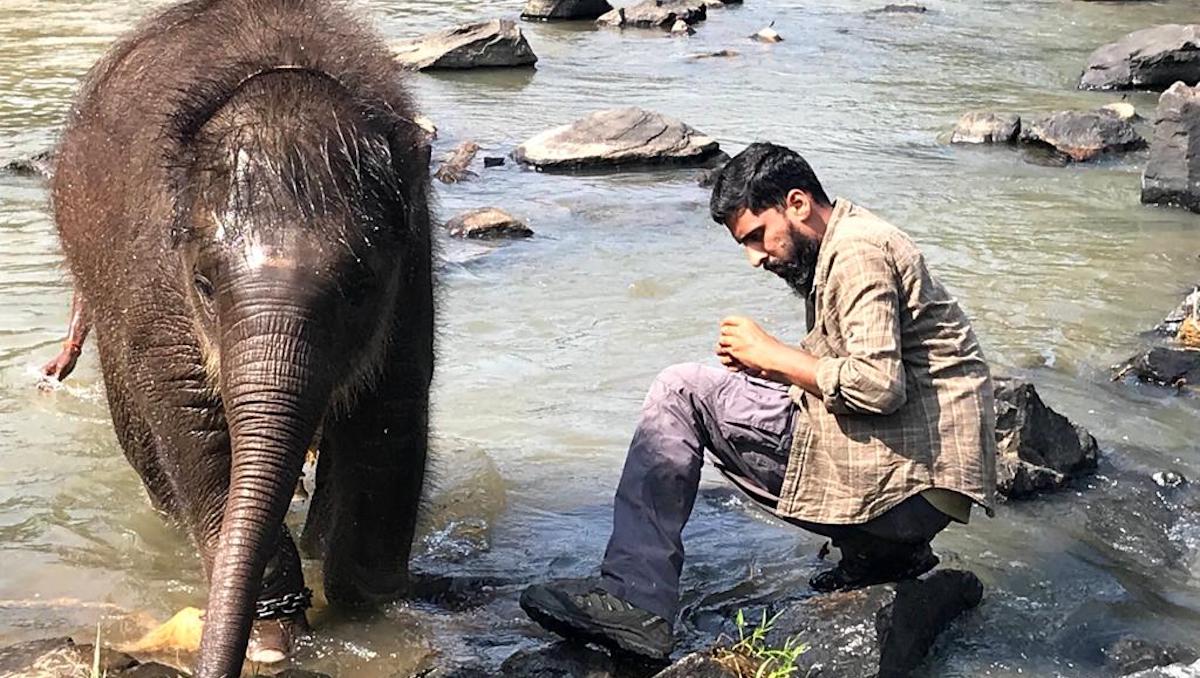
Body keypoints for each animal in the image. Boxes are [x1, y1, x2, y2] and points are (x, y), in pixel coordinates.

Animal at [48, 0, 434, 675]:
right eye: (203, 284)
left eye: (362, 287)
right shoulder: (155, 283)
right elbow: (194, 423)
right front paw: (273, 640)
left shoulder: (413, 275)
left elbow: (391, 407)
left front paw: (378, 620)